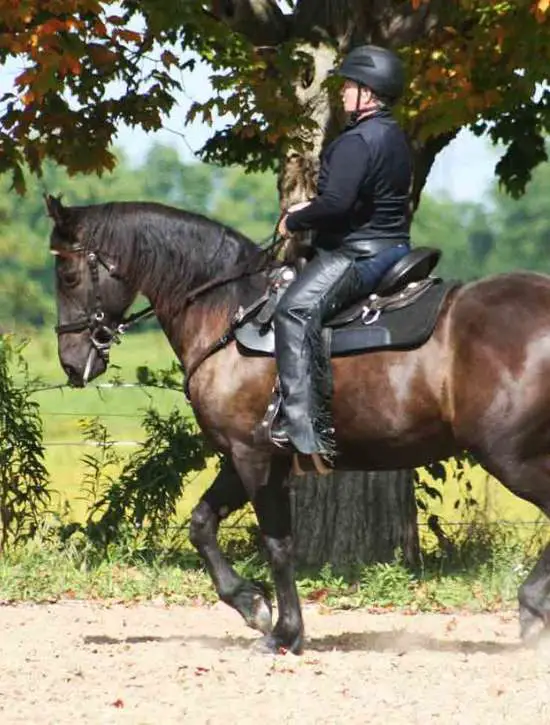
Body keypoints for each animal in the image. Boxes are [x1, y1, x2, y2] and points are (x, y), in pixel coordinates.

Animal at [46, 194, 550, 654]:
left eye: (68, 275)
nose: (71, 363)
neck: (230, 315)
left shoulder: (253, 457)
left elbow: (277, 544)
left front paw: (283, 632)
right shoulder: (242, 456)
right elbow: (202, 525)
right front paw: (251, 604)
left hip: (510, 458)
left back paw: (530, 607)